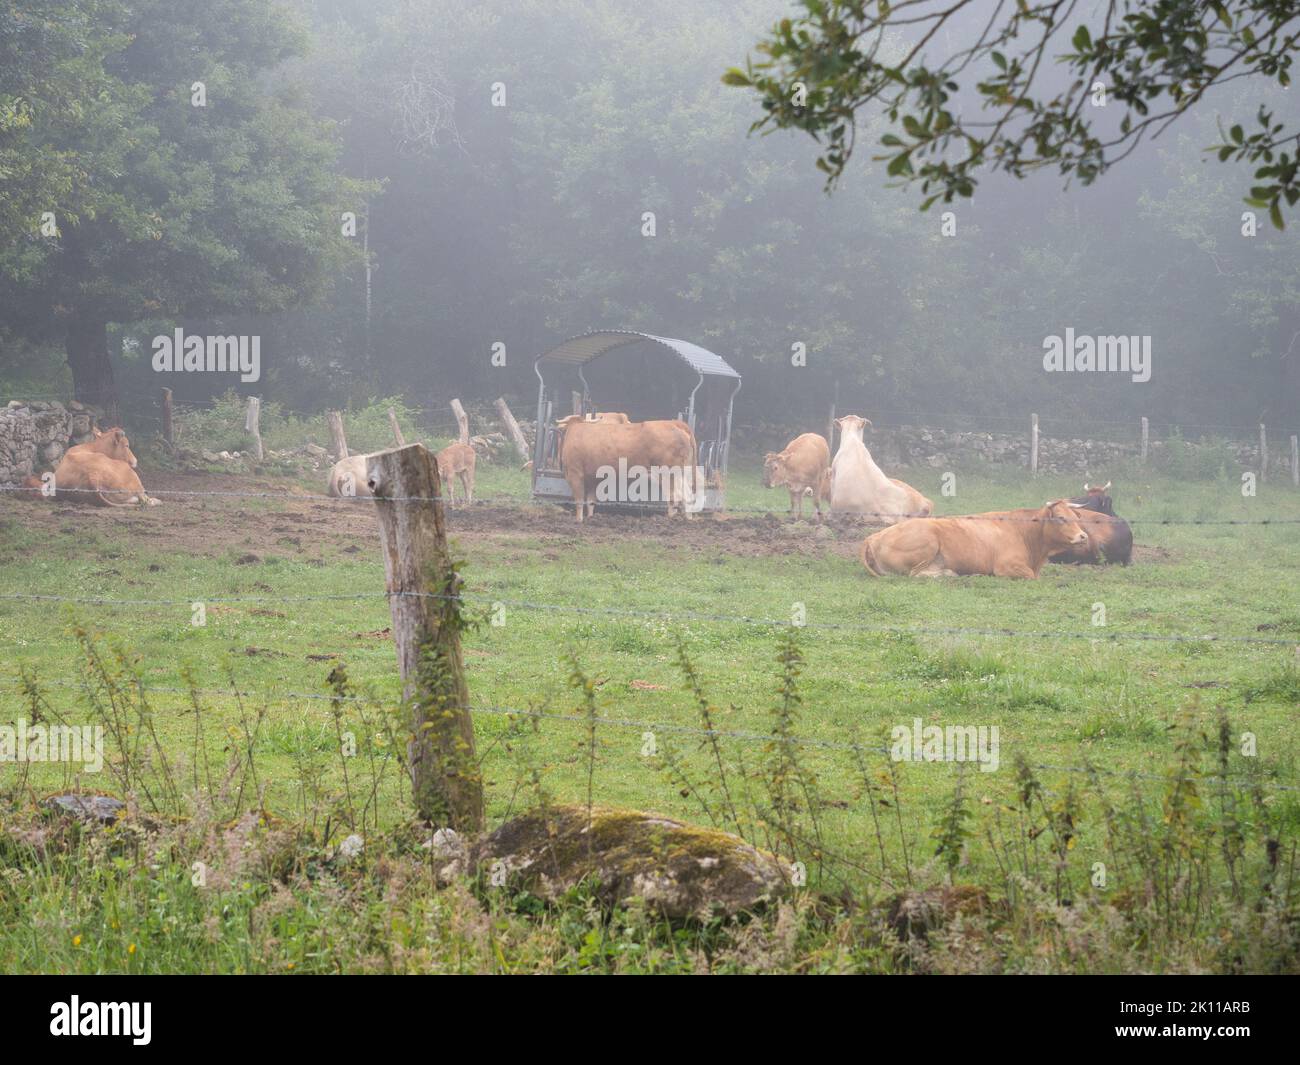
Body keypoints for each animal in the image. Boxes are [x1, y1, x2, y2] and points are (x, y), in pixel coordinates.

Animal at [555, 414, 694, 521]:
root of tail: (674, 423)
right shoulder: (593, 479)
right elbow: (591, 501)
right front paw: (590, 518)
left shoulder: (575, 474)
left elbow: (579, 499)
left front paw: (579, 520)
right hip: (681, 473)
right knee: (686, 494)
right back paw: (688, 518)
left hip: (669, 474)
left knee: (674, 495)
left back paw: (670, 518)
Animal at [859, 500, 1088, 579]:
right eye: (1061, 517)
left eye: (1076, 517)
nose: (1083, 536)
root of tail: (873, 536)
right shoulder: (1006, 567)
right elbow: (1031, 576)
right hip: (928, 543)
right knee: (915, 575)